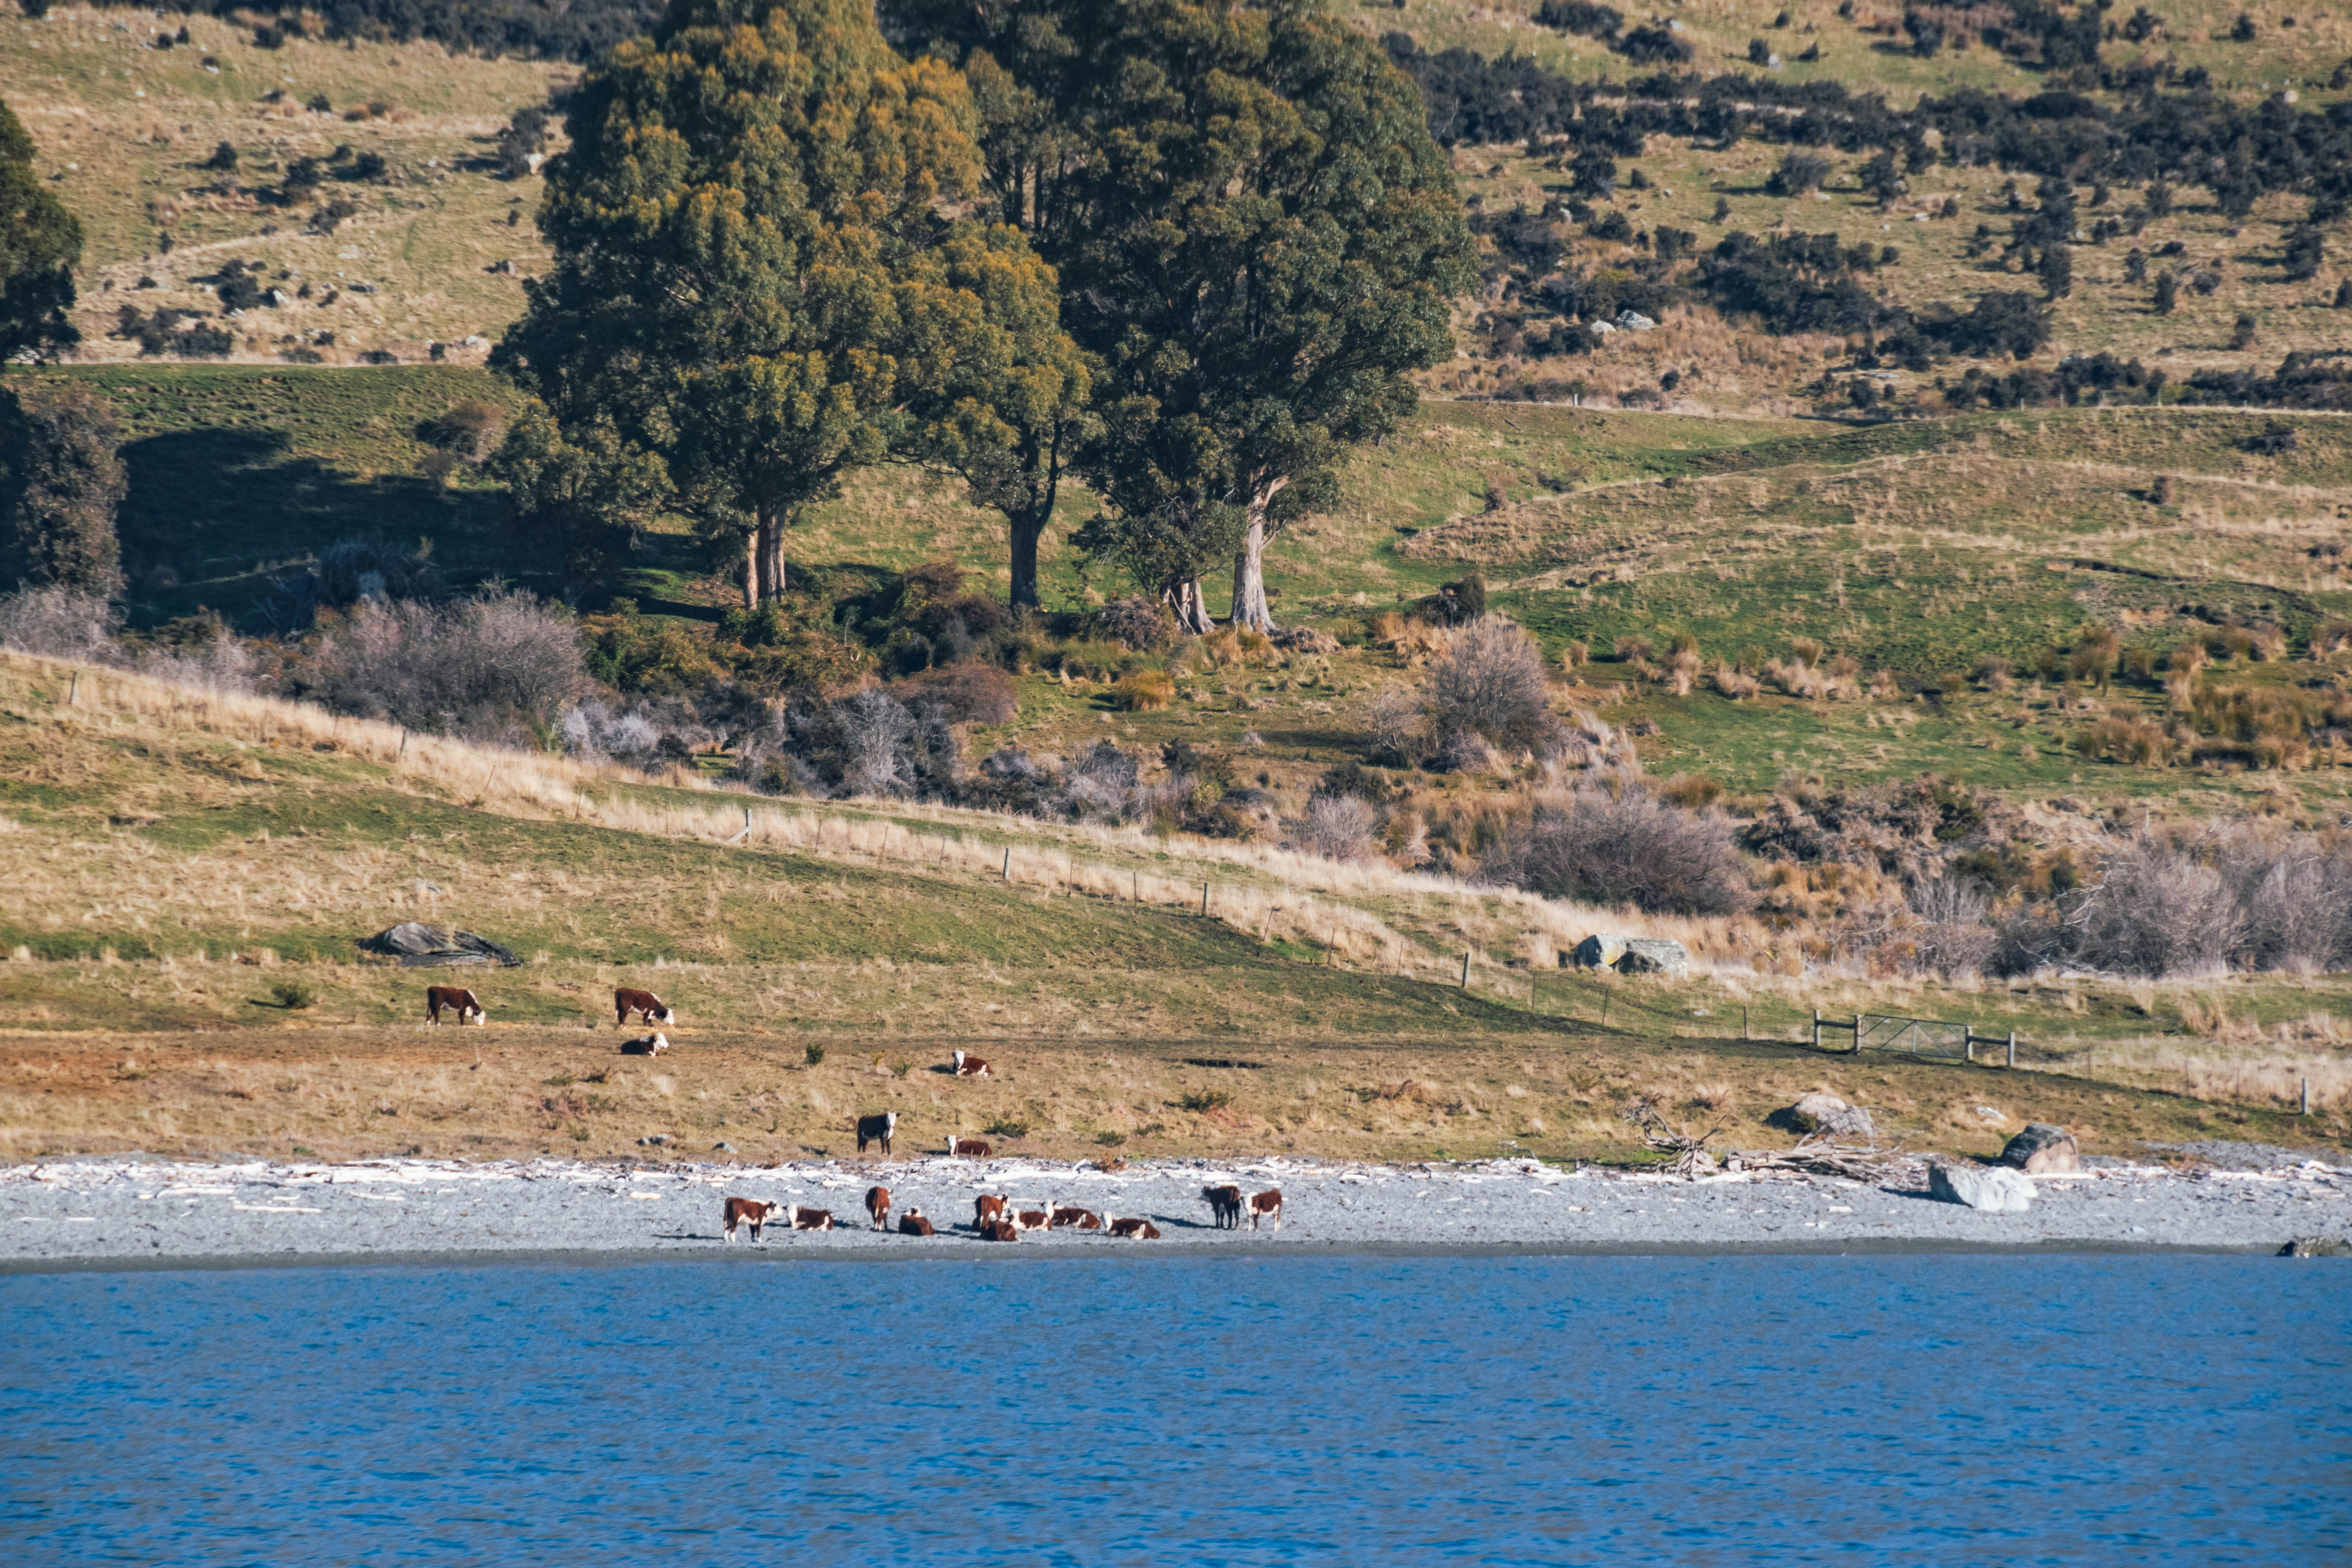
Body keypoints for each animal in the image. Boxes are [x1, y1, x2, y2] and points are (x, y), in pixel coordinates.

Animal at [424, 986, 485, 1026]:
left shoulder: (460, 1010)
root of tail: (432, 988)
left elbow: (460, 1017)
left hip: (432, 1006)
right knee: (436, 1014)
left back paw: (428, 1023)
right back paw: (438, 1025)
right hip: (437, 1006)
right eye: (481, 1018)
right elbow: (462, 1016)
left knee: (432, 1013)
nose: (481, 1025)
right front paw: (463, 1025)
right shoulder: (463, 1008)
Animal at [615, 988, 676, 1026]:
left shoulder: (646, 1013)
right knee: (623, 1016)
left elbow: (647, 1021)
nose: (673, 1023)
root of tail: (620, 990)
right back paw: (623, 1026)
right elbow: (647, 1020)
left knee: (619, 1016)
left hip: (619, 1008)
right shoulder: (648, 1012)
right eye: (670, 1016)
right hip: (624, 1010)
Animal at [722, 1197, 782, 1243]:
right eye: (776, 1206)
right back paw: (734, 1241)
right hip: (735, 1221)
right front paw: (760, 1242)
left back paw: (726, 1240)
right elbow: (758, 1232)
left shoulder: (752, 1223)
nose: (782, 1212)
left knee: (726, 1229)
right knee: (732, 1230)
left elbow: (753, 1232)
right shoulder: (759, 1222)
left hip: (727, 1220)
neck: (765, 1208)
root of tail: (731, 1199)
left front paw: (753, 1241)